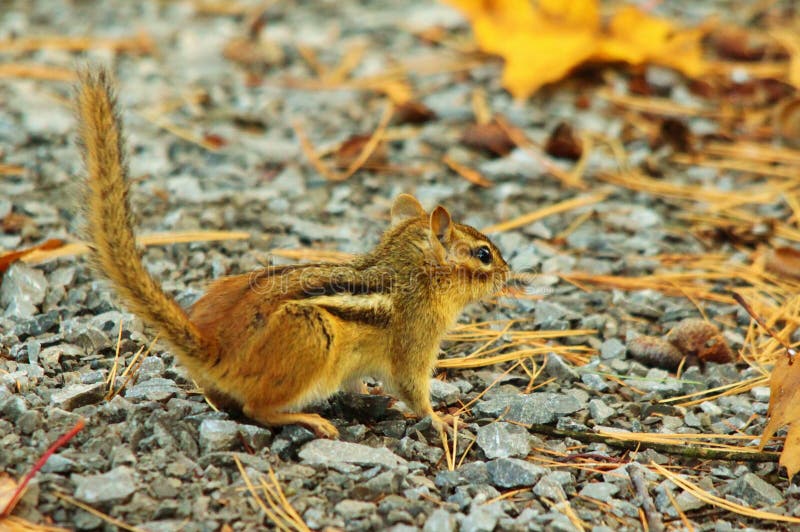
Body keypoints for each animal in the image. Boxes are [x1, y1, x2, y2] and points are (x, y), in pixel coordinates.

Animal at [75, 67, 510, 438]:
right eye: (484, 255)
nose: (509, 271)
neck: (411, 275)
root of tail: (217, 347)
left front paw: (370, 395)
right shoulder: (414, 342)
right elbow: (413, 390)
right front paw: (441, 419)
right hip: (312, 336)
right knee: (257, 409)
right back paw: (311, 420)